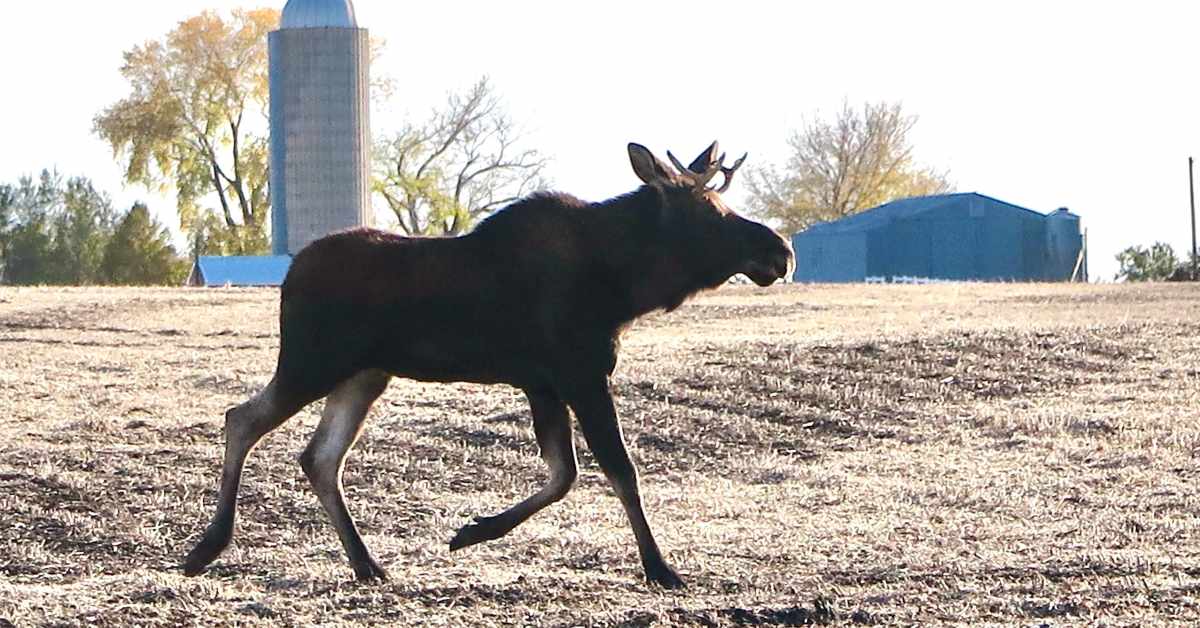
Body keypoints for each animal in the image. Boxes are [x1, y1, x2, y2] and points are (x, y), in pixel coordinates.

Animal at [182, 142, 795, 588]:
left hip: (363, 375)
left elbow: (564, 474)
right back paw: (207, 548)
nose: (781, 251)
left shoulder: (543, 384)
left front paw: (470, 532)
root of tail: (289, 276)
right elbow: (619, 471)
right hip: (313, 361)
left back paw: (366, 563)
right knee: (242, 419)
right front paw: (661, 568)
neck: (625, 285)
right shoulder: (579, 373)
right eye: (711, 211)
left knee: (319, 456)